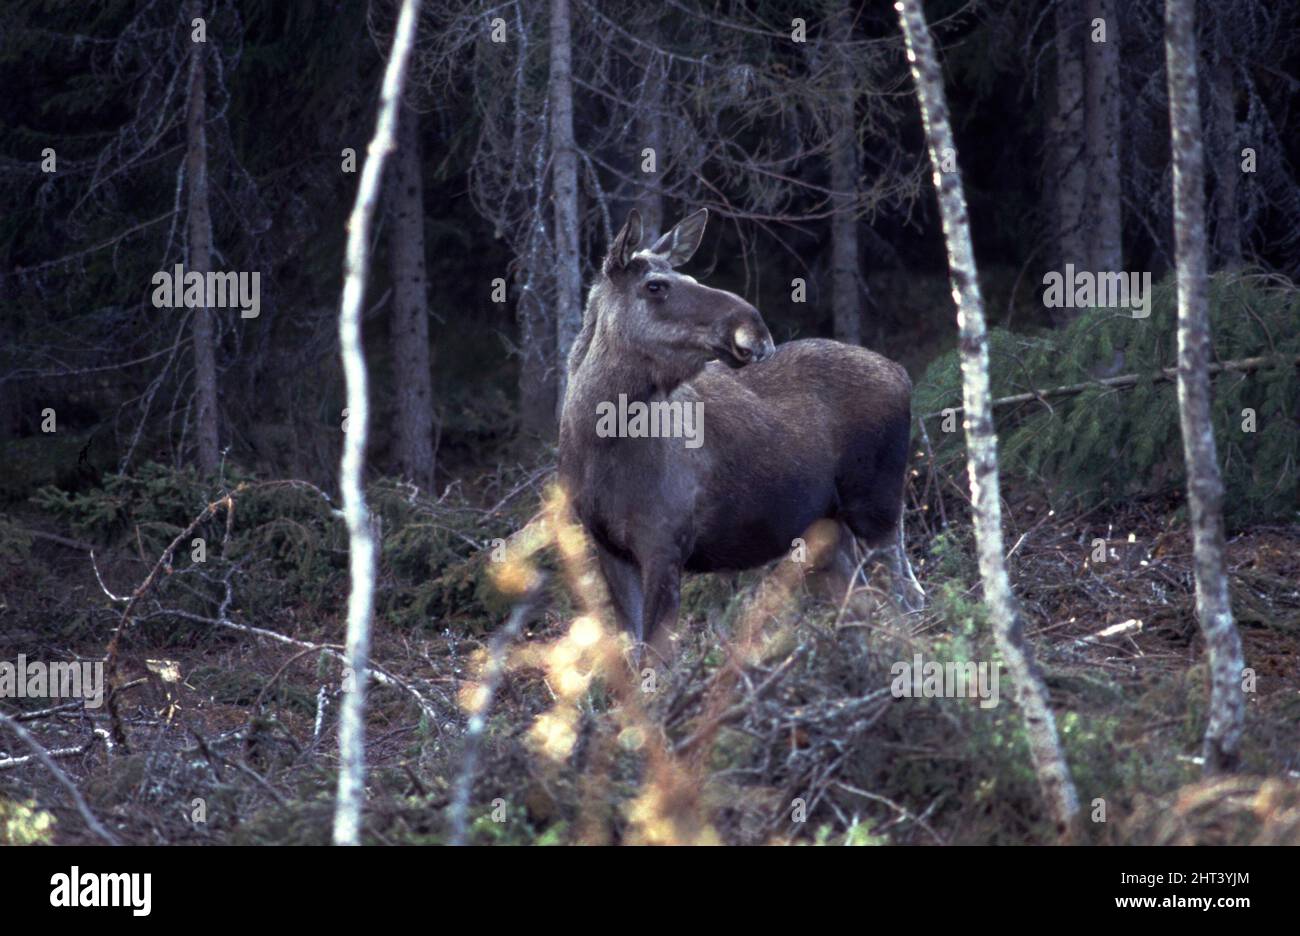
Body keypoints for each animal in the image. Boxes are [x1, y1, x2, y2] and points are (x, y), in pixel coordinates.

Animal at [558, 208, 924, 654]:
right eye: (655, 285)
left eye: (691, 277)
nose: (753, 327)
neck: (597, 443)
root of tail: (902, 374)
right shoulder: (609, 547)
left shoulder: (666, 543)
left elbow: (656, 660)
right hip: (829, 528)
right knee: (864, 607)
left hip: (878, 506)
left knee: (909, 598)